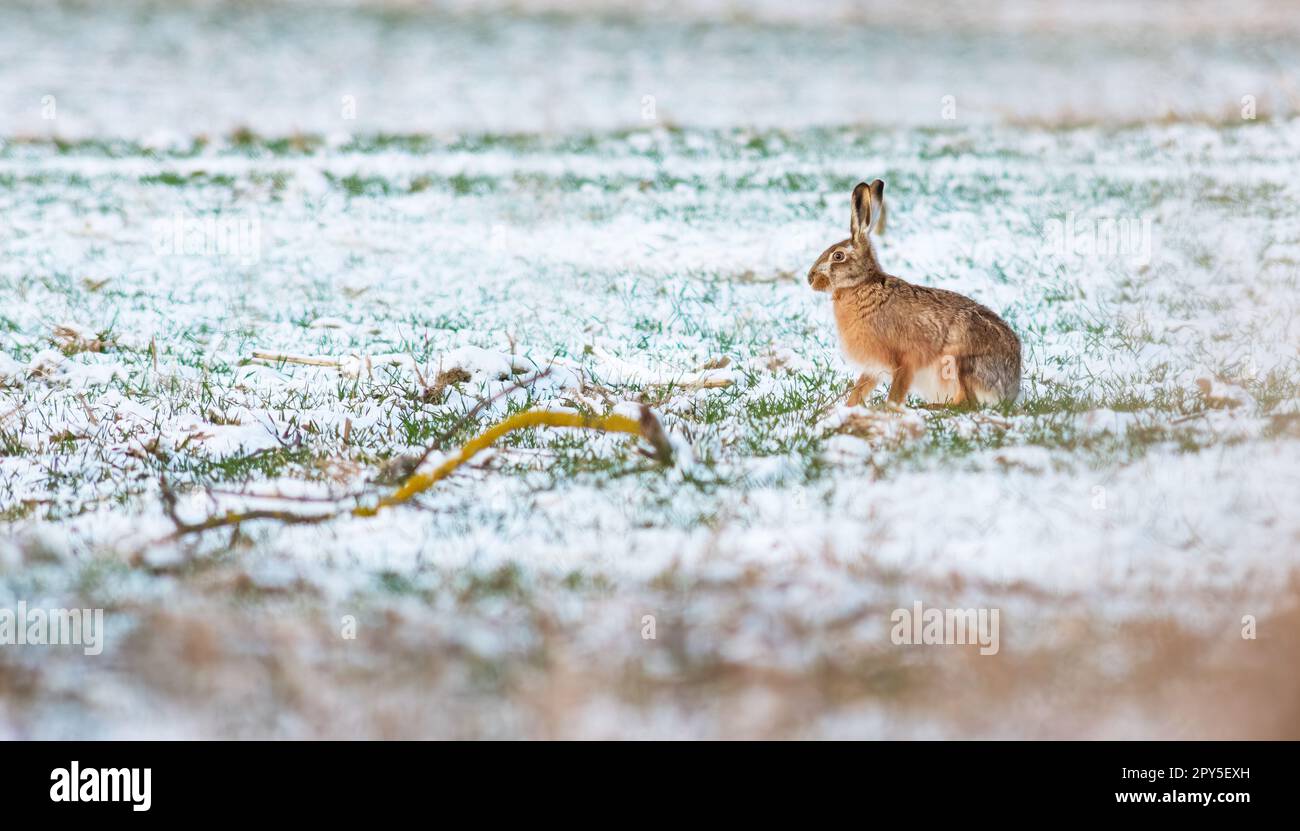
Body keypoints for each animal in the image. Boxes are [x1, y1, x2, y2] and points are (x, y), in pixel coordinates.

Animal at [807, 180, 1021, 408]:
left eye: (838, 256)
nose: (810, 278)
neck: (861, 286)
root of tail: (1011, 387)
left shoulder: (905, 359)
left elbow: (896, 391)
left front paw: (888, 409)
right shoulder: (873, 366)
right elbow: (860, 389)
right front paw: (847, 408)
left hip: (959, 363)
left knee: (966, 402)